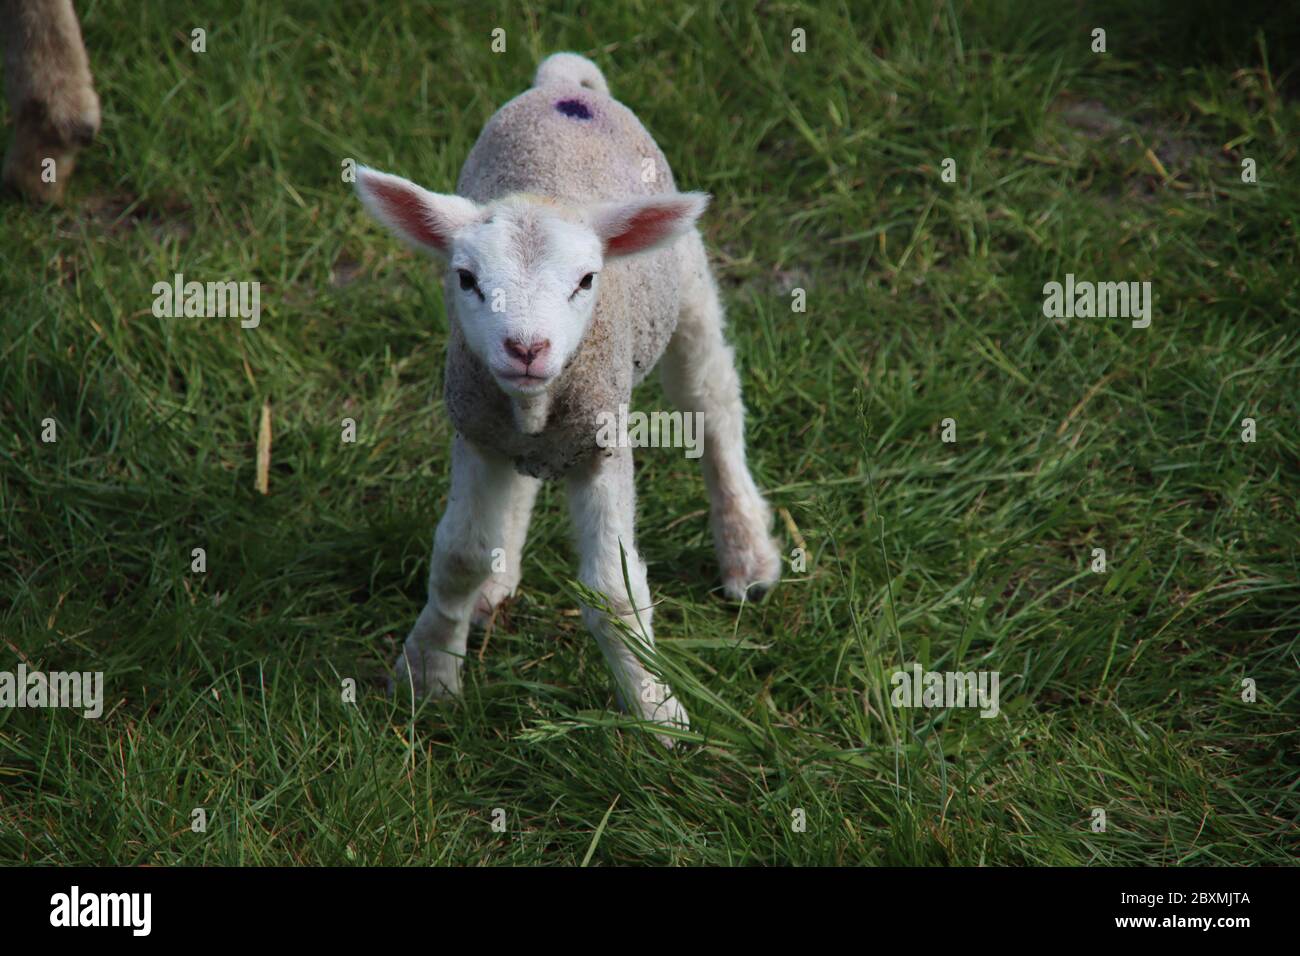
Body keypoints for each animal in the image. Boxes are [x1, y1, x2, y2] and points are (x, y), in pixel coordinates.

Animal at [354, 52, 781, 744]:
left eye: (586, 280)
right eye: (465, 279)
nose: (527, 347)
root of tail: (563, 85)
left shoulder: (602, 444)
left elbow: (614, 590)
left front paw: (657, 713)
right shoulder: (477, 428)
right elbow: (458, 557)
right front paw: (429, 675)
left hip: (686, 283)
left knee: (714, 404)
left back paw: (748, 555)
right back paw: (497, 581)